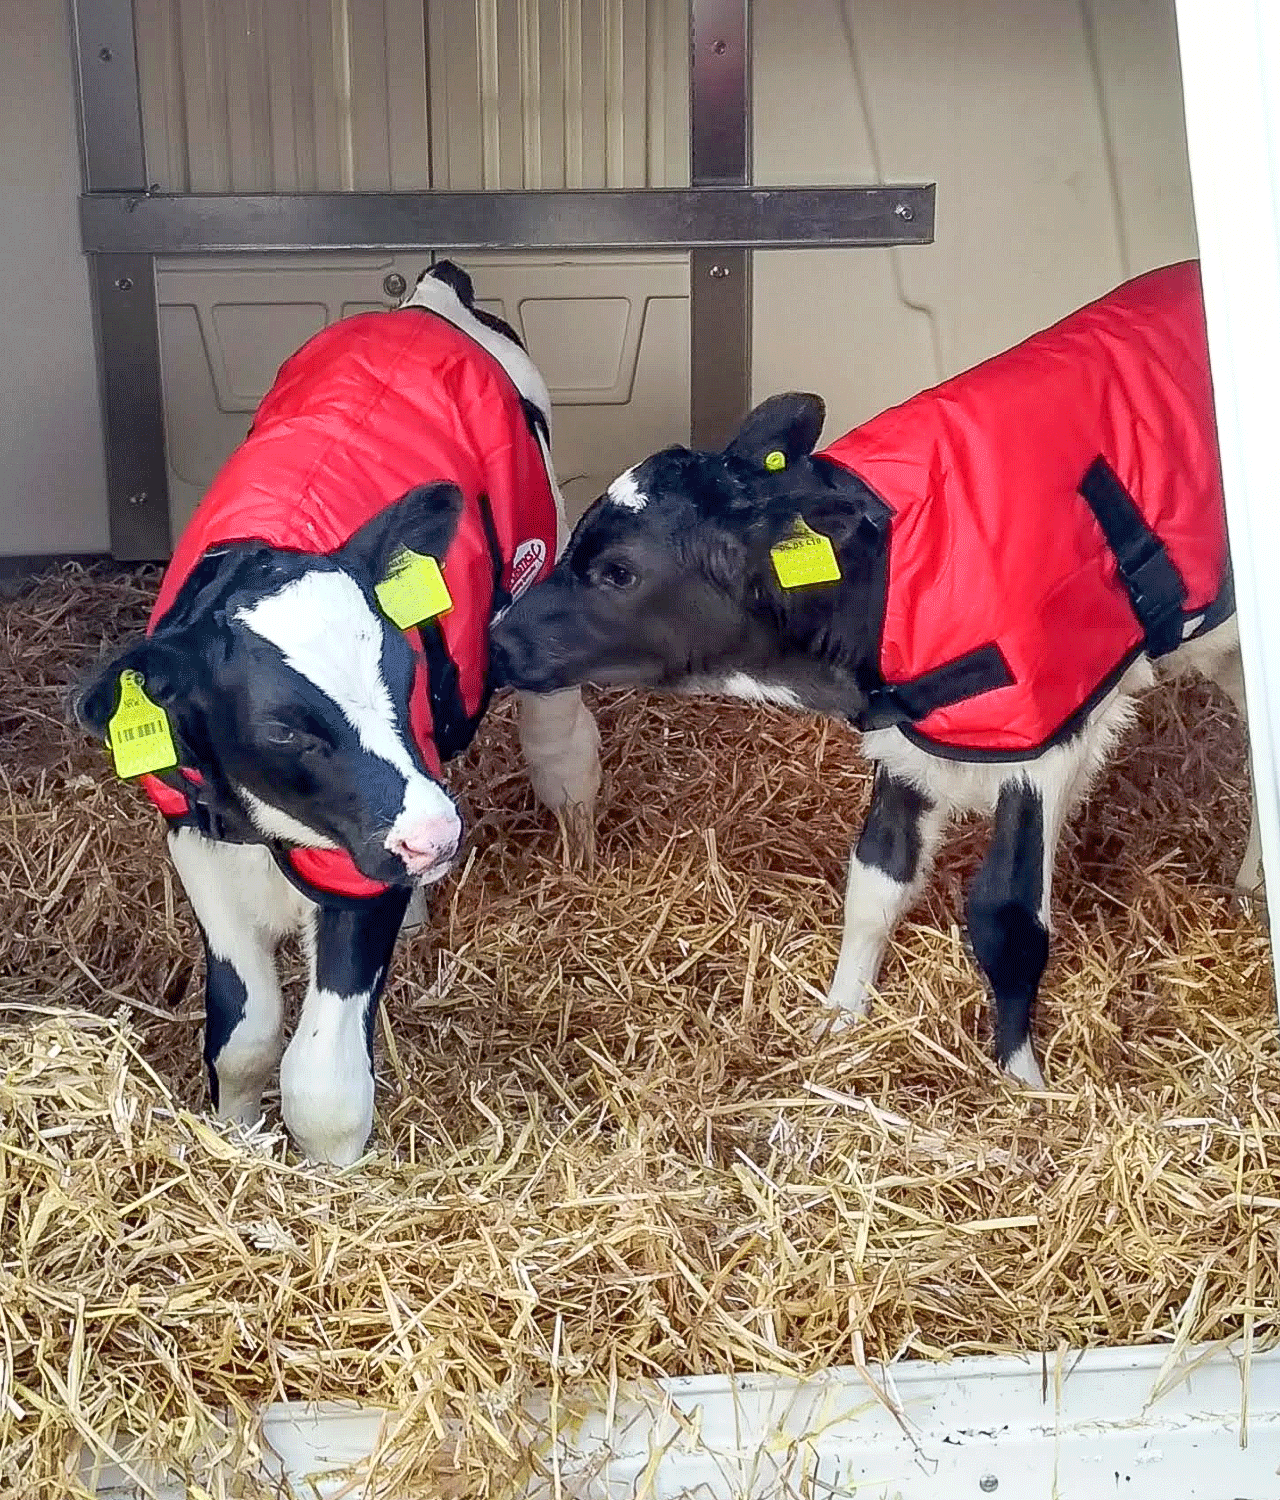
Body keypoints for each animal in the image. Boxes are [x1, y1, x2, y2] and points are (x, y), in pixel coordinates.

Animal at [77, 263, 601, 1166]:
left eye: (401, 666)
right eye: (282, 727)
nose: (434, 835)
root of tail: (428, 301)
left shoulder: (361, 876)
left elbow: (320, 1081)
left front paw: (333, 1178)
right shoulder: (196, 832)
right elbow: (244, 1031)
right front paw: (236, 1138)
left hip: (542, 566)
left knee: (558, 740)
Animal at [490, 261, 1257, 1089]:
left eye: (620, 571)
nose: (499, 636)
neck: (896, 575)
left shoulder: (1039, 744)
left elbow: (1006, 919)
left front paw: (1023, 1082)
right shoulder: (912, 747)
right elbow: (875, 883)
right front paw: (838, 1020)